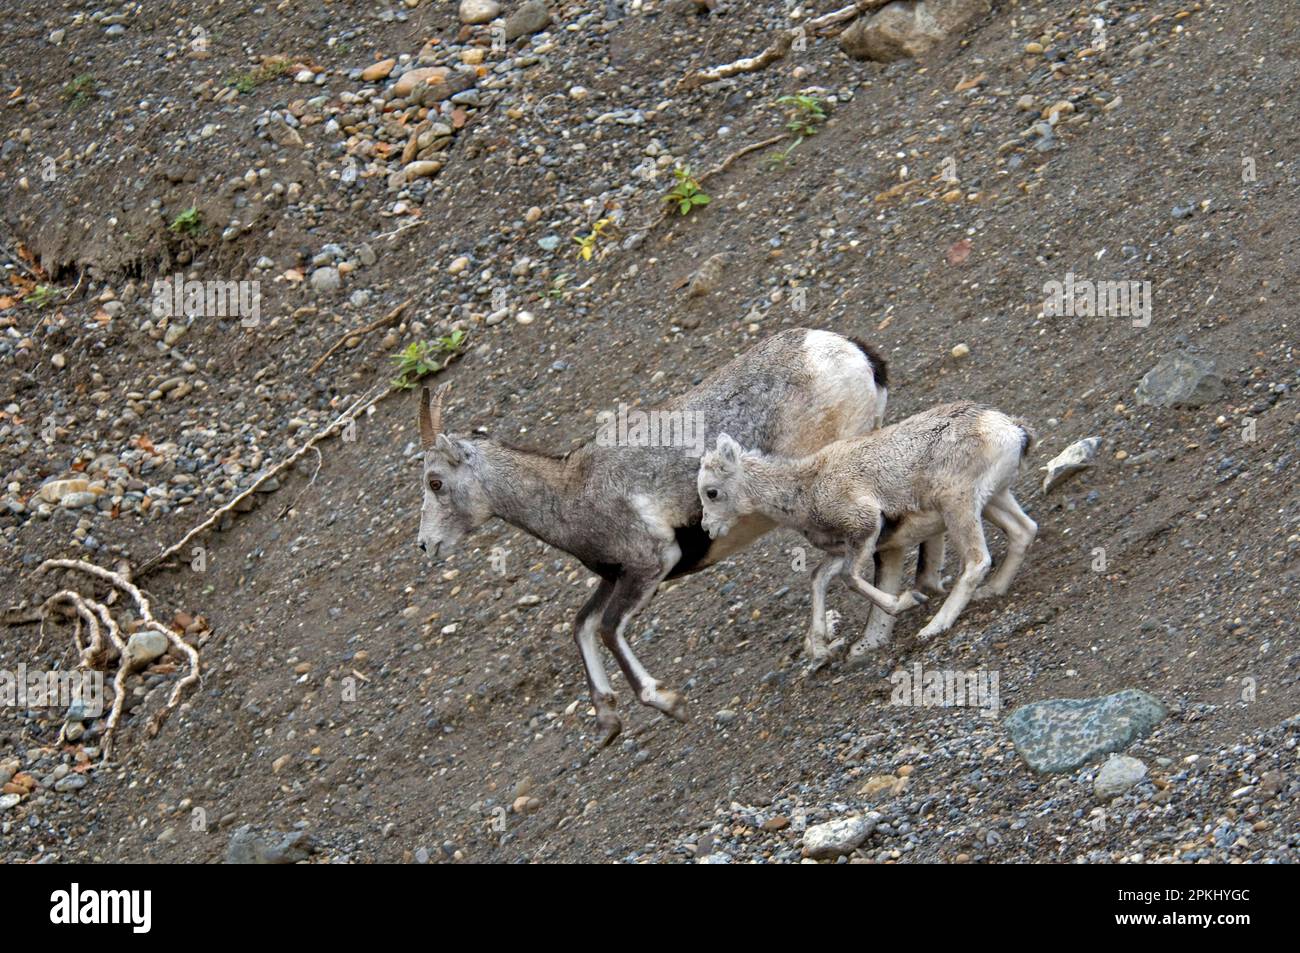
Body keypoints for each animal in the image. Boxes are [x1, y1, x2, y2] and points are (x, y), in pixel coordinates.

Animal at [414, 328, 941, 745]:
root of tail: (851, 353)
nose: (426, 545)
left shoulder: (648, 567)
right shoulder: (616, 576)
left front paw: (669, 703)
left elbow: (607, 629)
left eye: (435, 482)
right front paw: (607, 723)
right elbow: (581, 625)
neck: (570, 491)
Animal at [696, 402, 1037, 661]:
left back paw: (933, 627)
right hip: (993, 499)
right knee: (1023, 531)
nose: (708, 529)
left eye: (711, 492)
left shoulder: (865, 528)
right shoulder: (853, 547)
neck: (806, 488)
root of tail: (1010, 429)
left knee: (977, 561)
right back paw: (992, 591)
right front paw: (820, 647)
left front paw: (908, 600)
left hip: (957, 506)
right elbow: (818, 578)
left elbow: (850, 578)